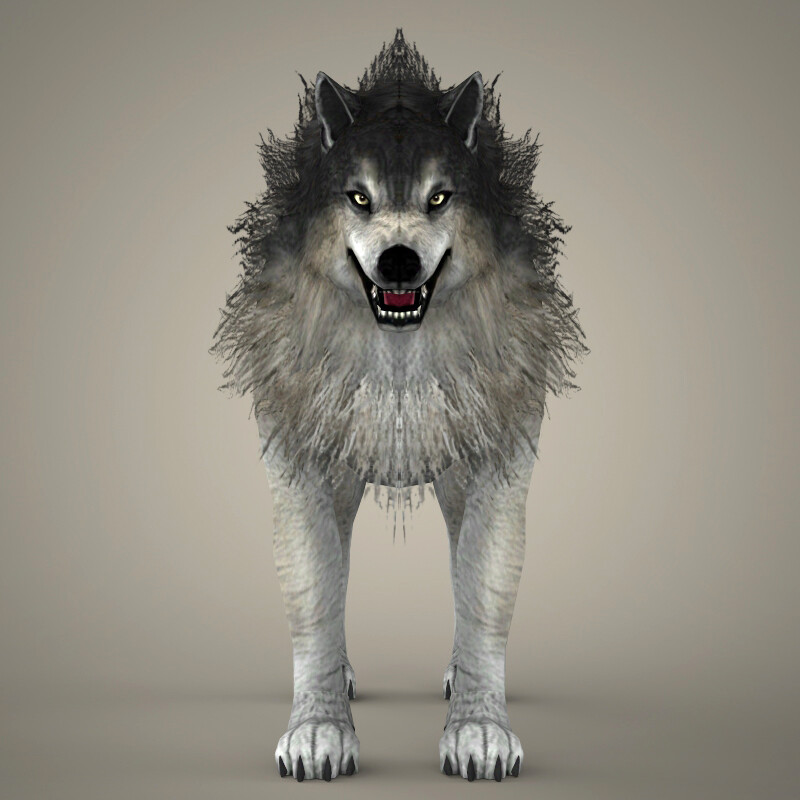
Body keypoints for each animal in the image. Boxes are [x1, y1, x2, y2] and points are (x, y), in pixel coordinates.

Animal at [212, 30, 587, 782]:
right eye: (359, 198)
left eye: (439, 197)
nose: (399, 262)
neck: (398, 362)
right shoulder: (299, 467)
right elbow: (317, 596)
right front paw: (318, 732)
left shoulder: (499, 466)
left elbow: (481, 596)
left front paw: (479, 731)